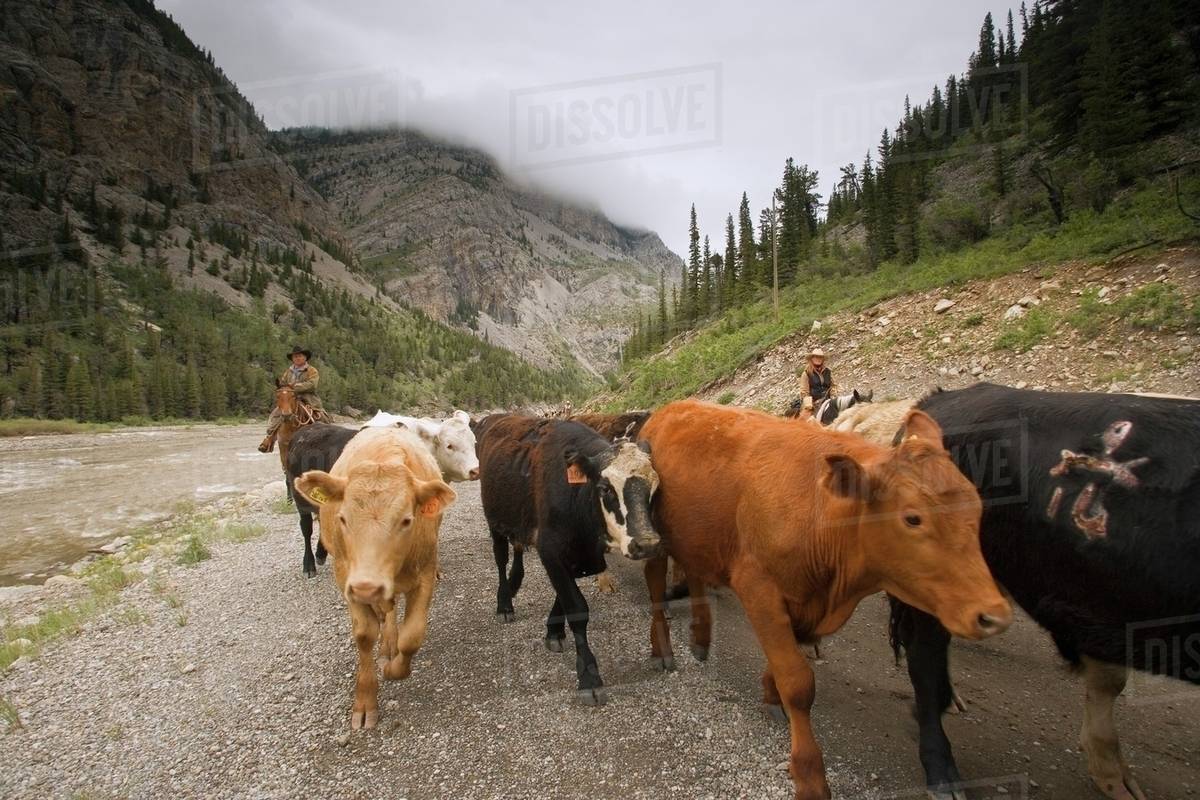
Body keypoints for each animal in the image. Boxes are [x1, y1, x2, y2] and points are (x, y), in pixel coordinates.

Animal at [287, 413, 479, 577]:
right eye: (450, 445)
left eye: (474, 442)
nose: (475, 470)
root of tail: (307, 430)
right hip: (300, 500)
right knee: (306, 528)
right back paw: (309, 565)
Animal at [292, 426, 456, 730]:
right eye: (343, 518)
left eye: (406, 520)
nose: (366, 587)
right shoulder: (346, 576)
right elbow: (365, 634)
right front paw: (365, 701)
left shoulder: (426, 573)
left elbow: (412, 636)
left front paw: (394, 669)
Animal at [477, 415, 662, 704]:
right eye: (605, 488)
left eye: (655, 487)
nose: (647, 544)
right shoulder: (550, 548)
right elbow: (576, 607)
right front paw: (589, 677)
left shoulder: (581, 556)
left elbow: (562, 596)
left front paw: (554, 631)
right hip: (494, 520)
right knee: (500, 557)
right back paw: (505, 603)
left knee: (517, 548)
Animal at [638, 399, 1012, 800]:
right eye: (912, 518)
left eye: (976, 504)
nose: (994, 615)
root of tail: (670, 409)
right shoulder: (758, 587)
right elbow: (797, 682)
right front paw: (810, 777)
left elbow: (786, 660)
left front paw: (770, 693)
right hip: (653, 540)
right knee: (656, 588)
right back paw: (663, 649)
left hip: (696, 539)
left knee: (694, 577)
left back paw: (701, 638)